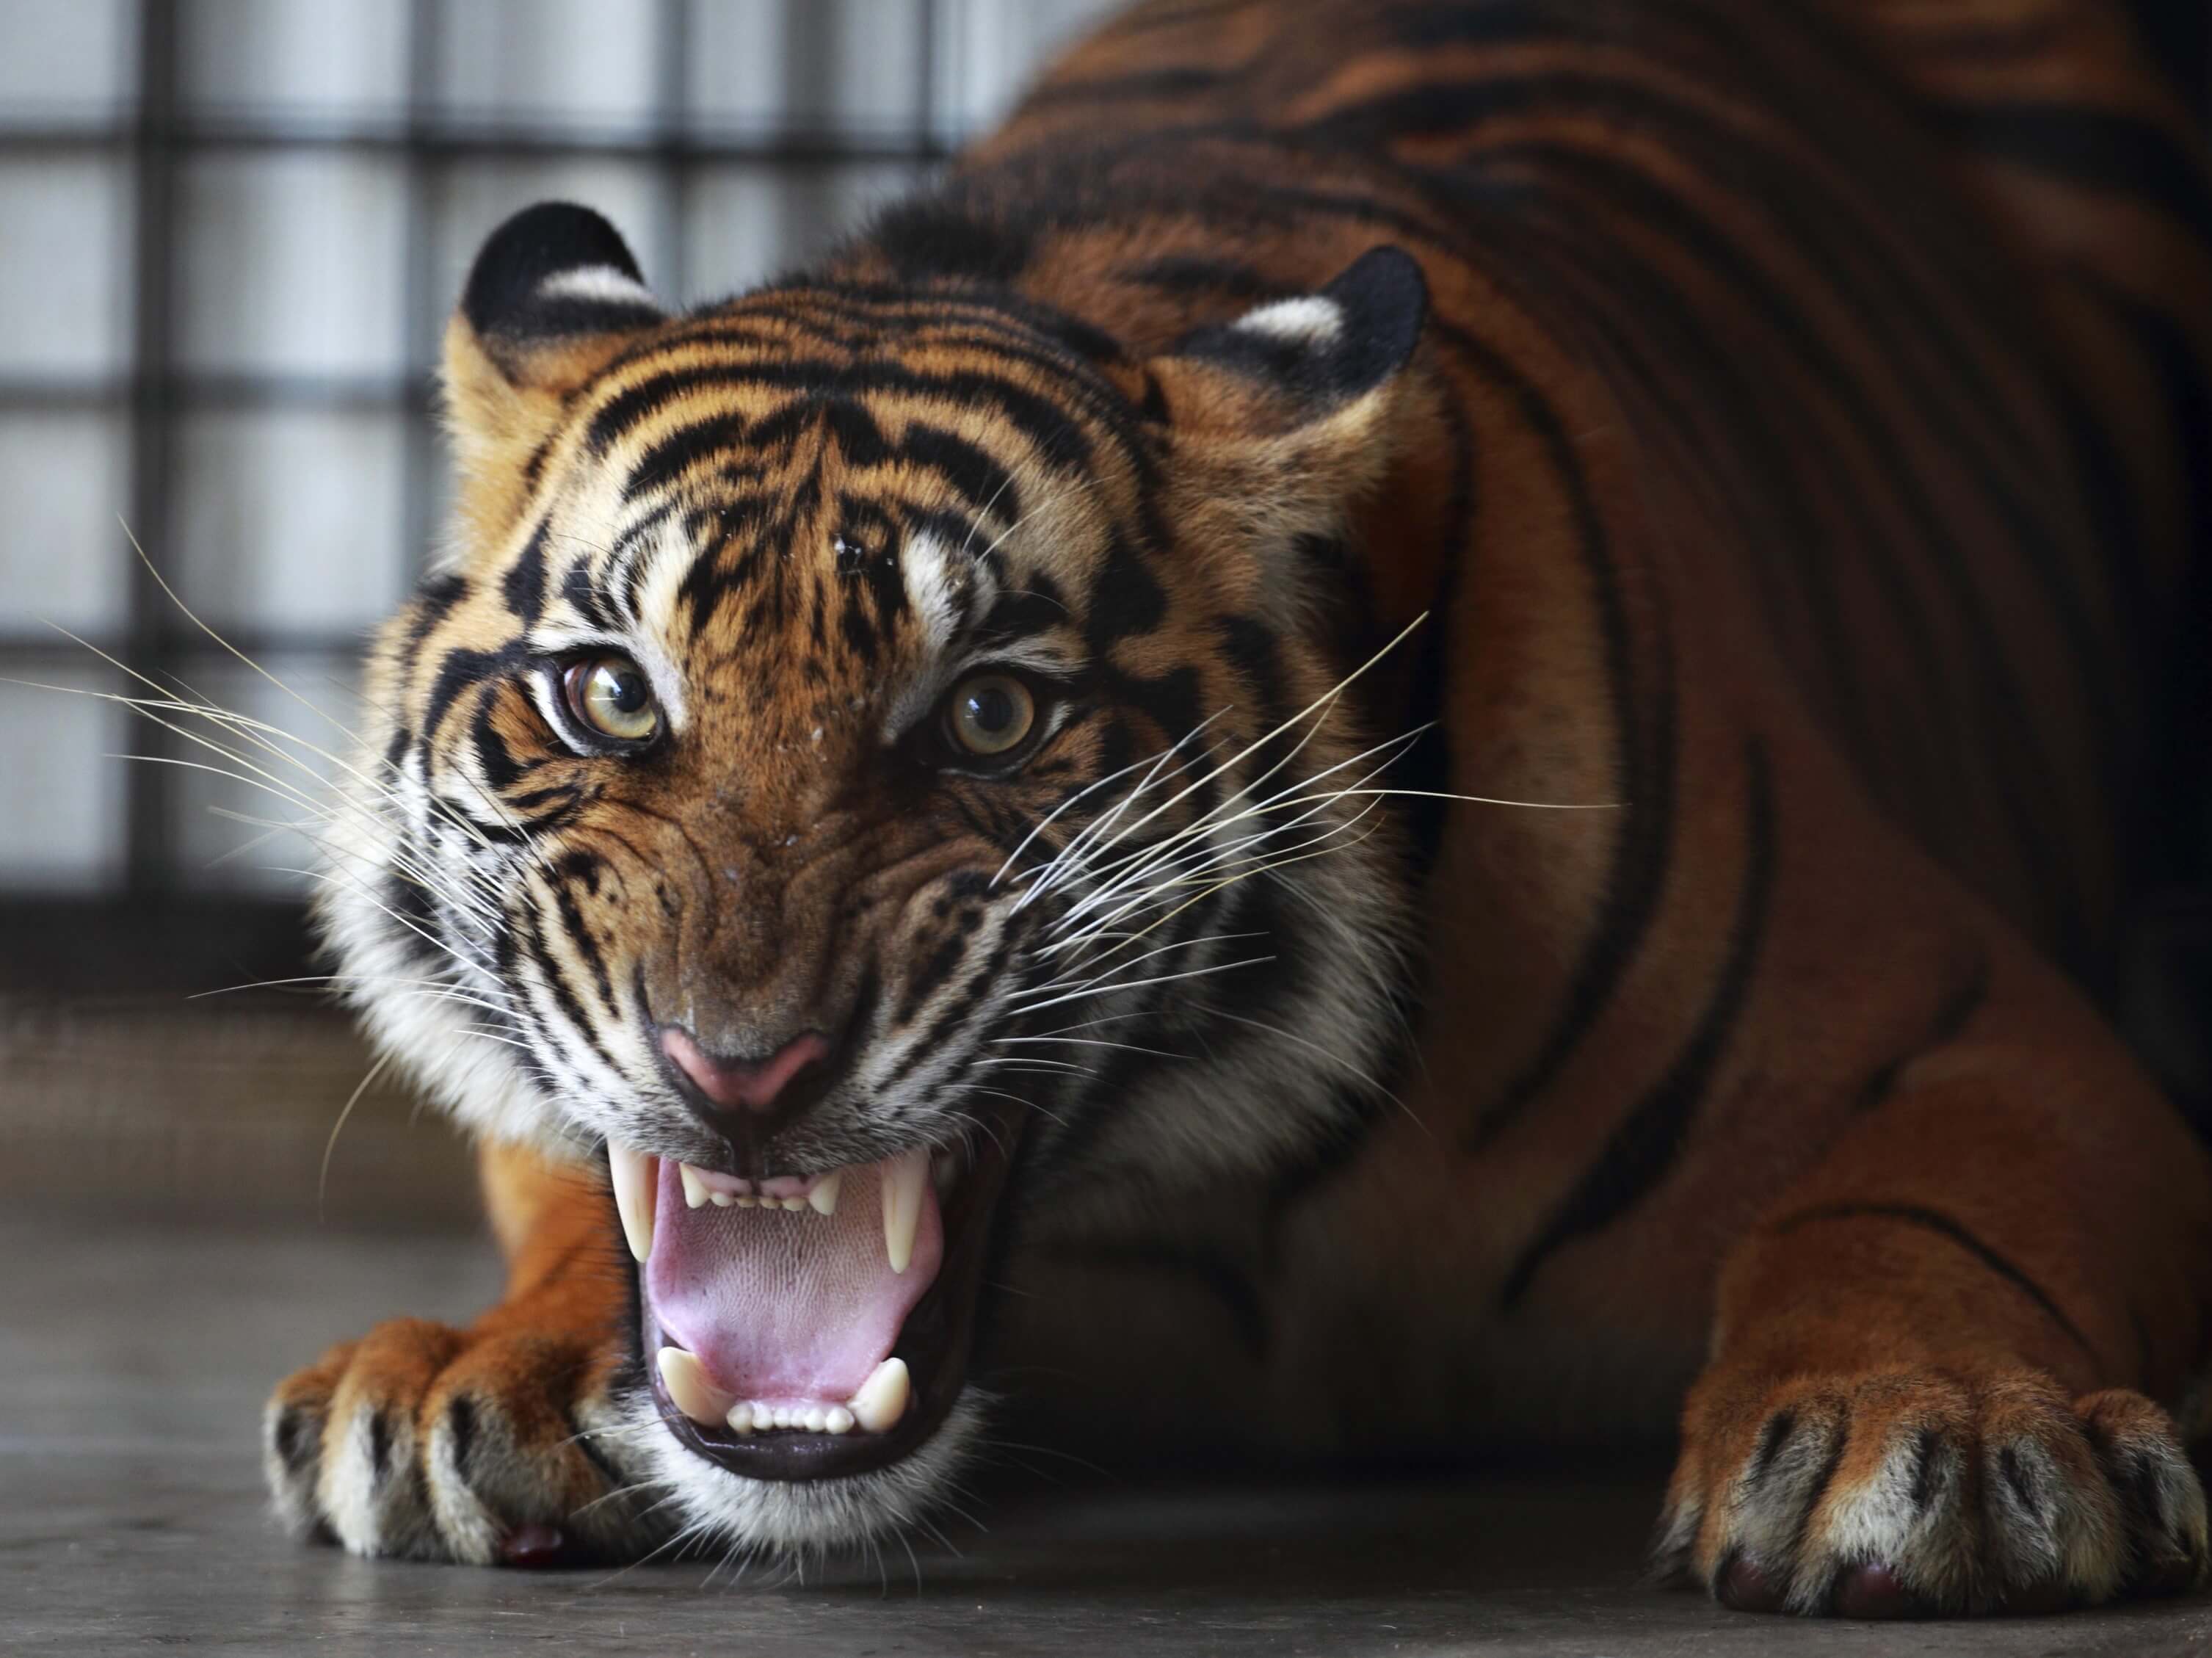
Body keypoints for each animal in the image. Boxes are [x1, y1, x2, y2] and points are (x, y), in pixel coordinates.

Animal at [259, 0, 2212, 1619]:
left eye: (990, 714)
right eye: (610, 693)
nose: (737, 1071)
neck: (1257, 1183)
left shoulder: (1986, 1028)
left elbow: (1911, 1209)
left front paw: (1937, 1430)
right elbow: (585, 1199)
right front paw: (475, 1375)